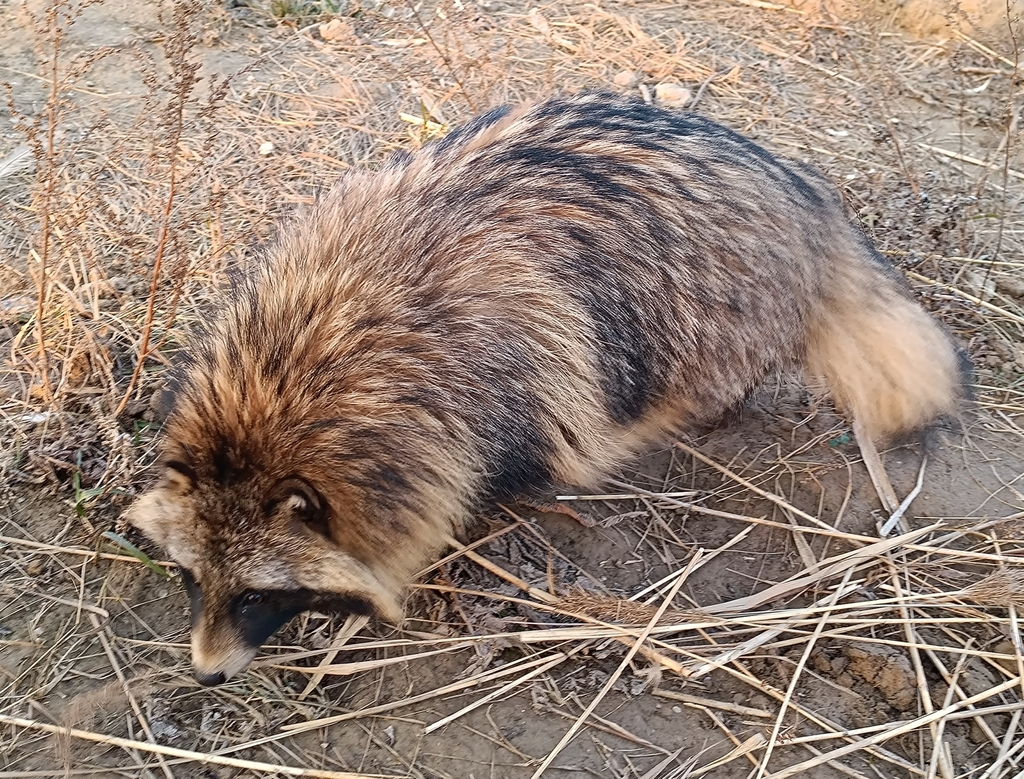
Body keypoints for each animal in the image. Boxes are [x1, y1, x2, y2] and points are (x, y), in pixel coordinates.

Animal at [127, 92, 970, 685]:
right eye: (190, 577)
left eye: (257, 596)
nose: (204, 674)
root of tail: (807, 195)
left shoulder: (509, 376)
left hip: (718, 305)